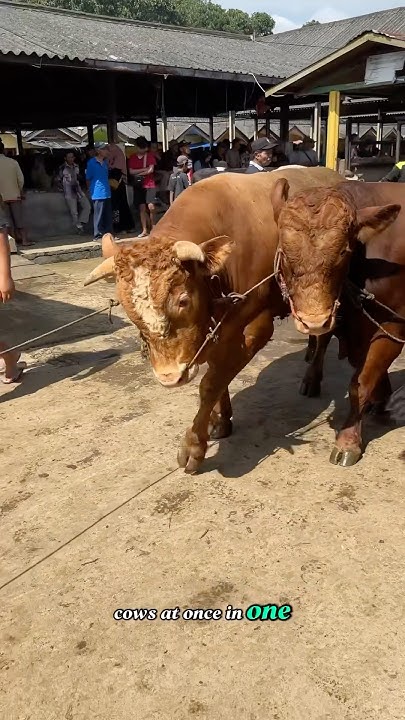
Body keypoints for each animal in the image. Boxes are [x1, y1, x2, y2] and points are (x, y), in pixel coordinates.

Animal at [84, 167, 343, 473]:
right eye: (127, 307)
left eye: (183, 300)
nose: (169, 377)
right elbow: (218, 376)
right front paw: (221, 419)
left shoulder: (255, 329)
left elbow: (211, 383)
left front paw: (194, 445)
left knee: (324, 334)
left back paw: (312, 377)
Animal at [273, 180, 404, 467]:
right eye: (285, 253)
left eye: (344, 251)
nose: (313, 321)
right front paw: (381, 397)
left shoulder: (392, 327)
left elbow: (360, 383)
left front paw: (348, 440)